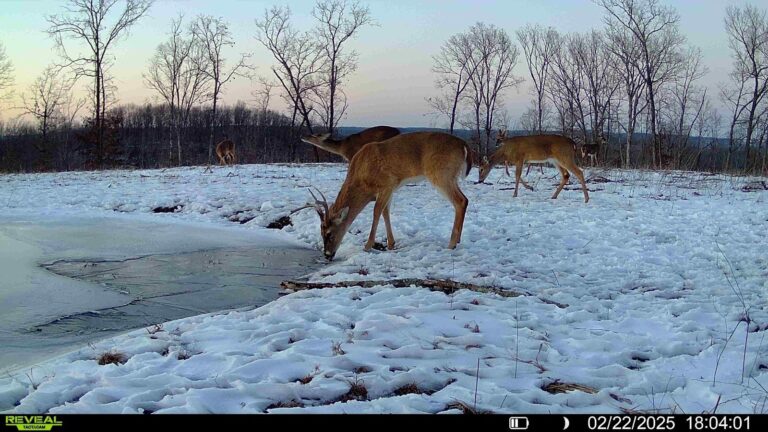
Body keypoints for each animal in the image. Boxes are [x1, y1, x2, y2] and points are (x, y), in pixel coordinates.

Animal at [311, 132, 472, 261]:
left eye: (330, 234)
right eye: (321, 232)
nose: (327, 254)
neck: (362, 181)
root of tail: (464, 145)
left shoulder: (387, 184)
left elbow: (376, 211)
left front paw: (367, 246)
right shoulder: (390, 189)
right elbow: (385, 212)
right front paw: (390, 244)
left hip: (440, 174)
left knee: (461, 200)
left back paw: (451, 244)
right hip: (450, 177)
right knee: (464, 200)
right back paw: (457, 240)